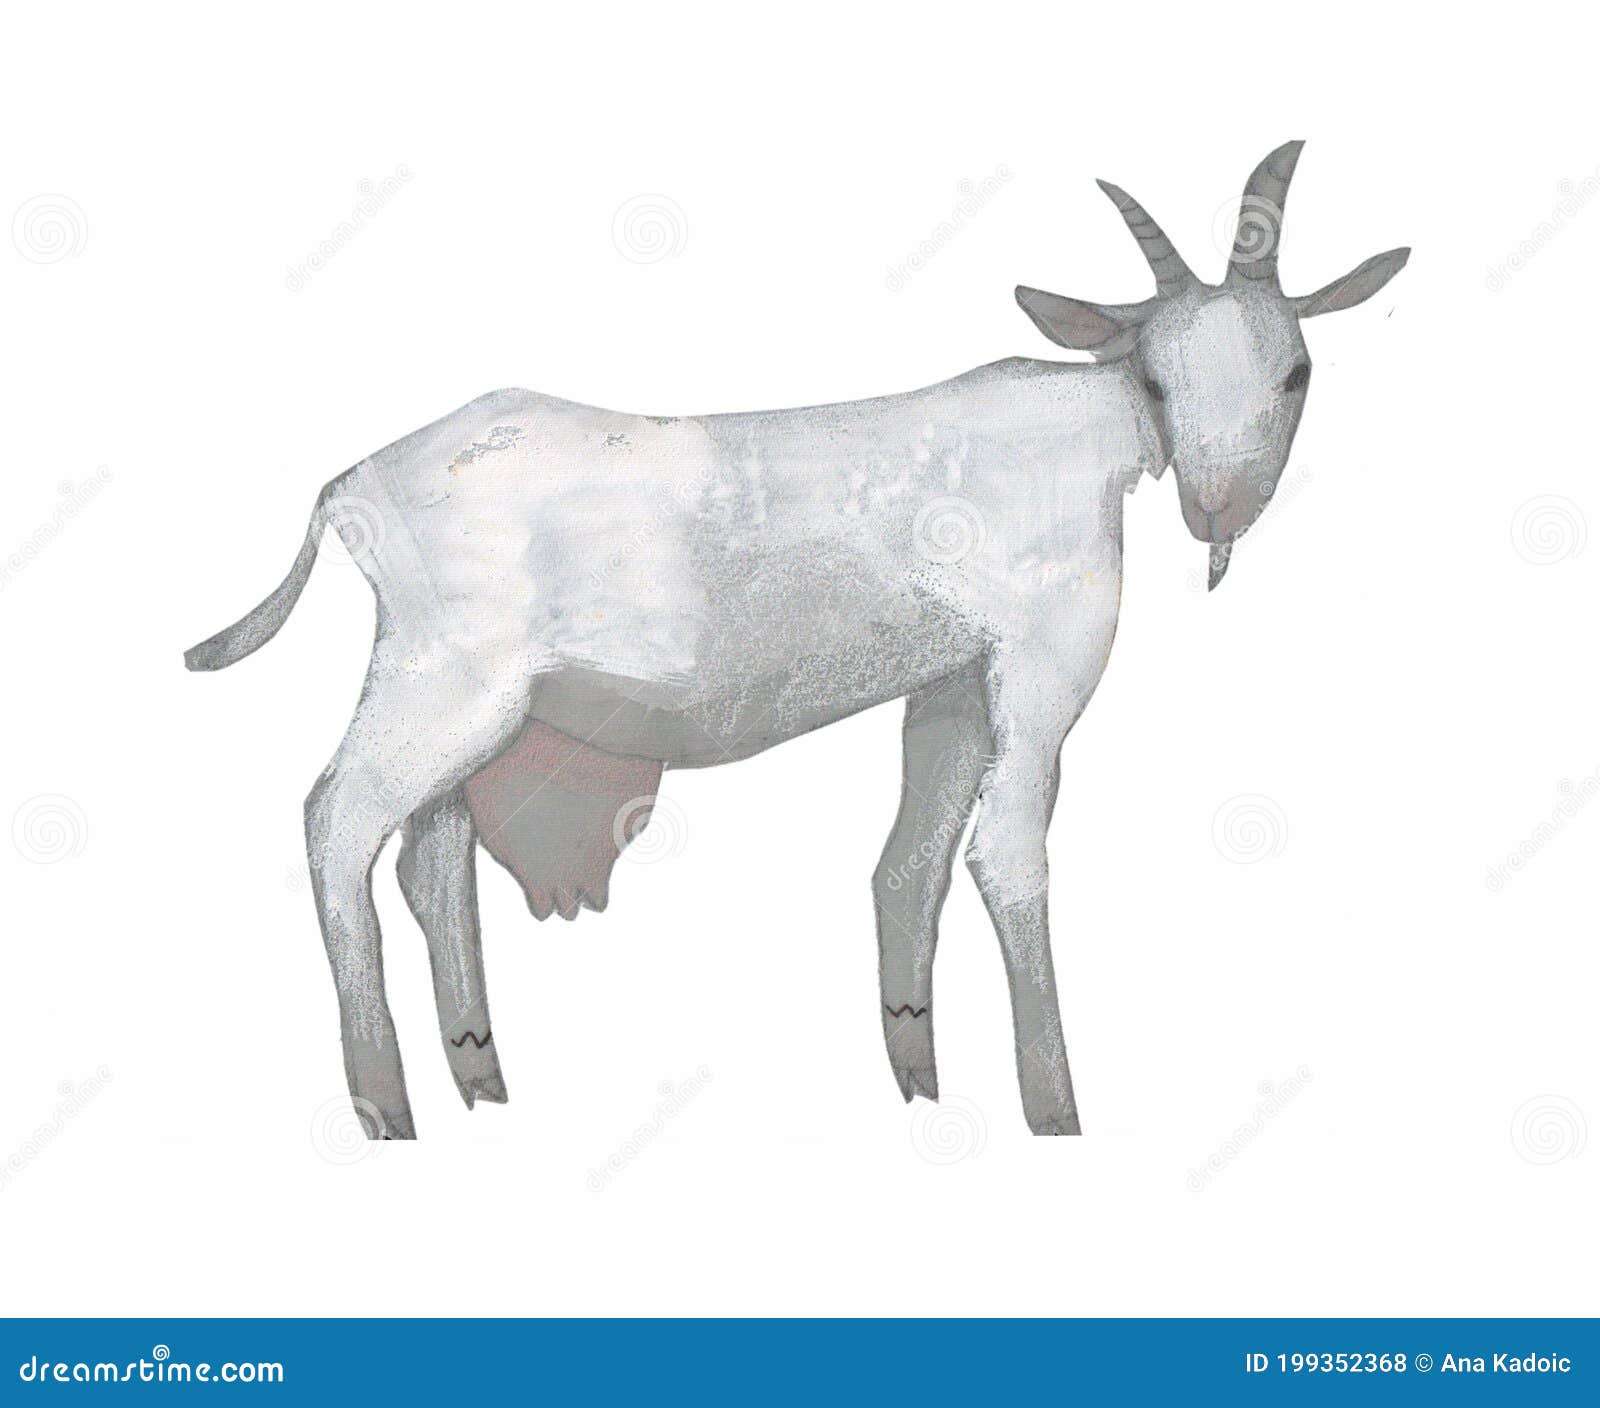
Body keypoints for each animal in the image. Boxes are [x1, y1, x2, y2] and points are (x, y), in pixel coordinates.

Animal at [186, 142, 1407, 1139]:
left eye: (1296, 370)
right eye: (1155, 375)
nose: (1217, 507)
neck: (1078, 434)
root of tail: (349, 487)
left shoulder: (952, 683)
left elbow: (909, 863)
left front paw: (918, 1081)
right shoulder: (1039, 665)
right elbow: (1006, 858)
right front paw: (1053, 1110)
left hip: (460, 710)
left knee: (430, 856)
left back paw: (480, 1082)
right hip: (445, 687)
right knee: (337, 820)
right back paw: (387, 1108)